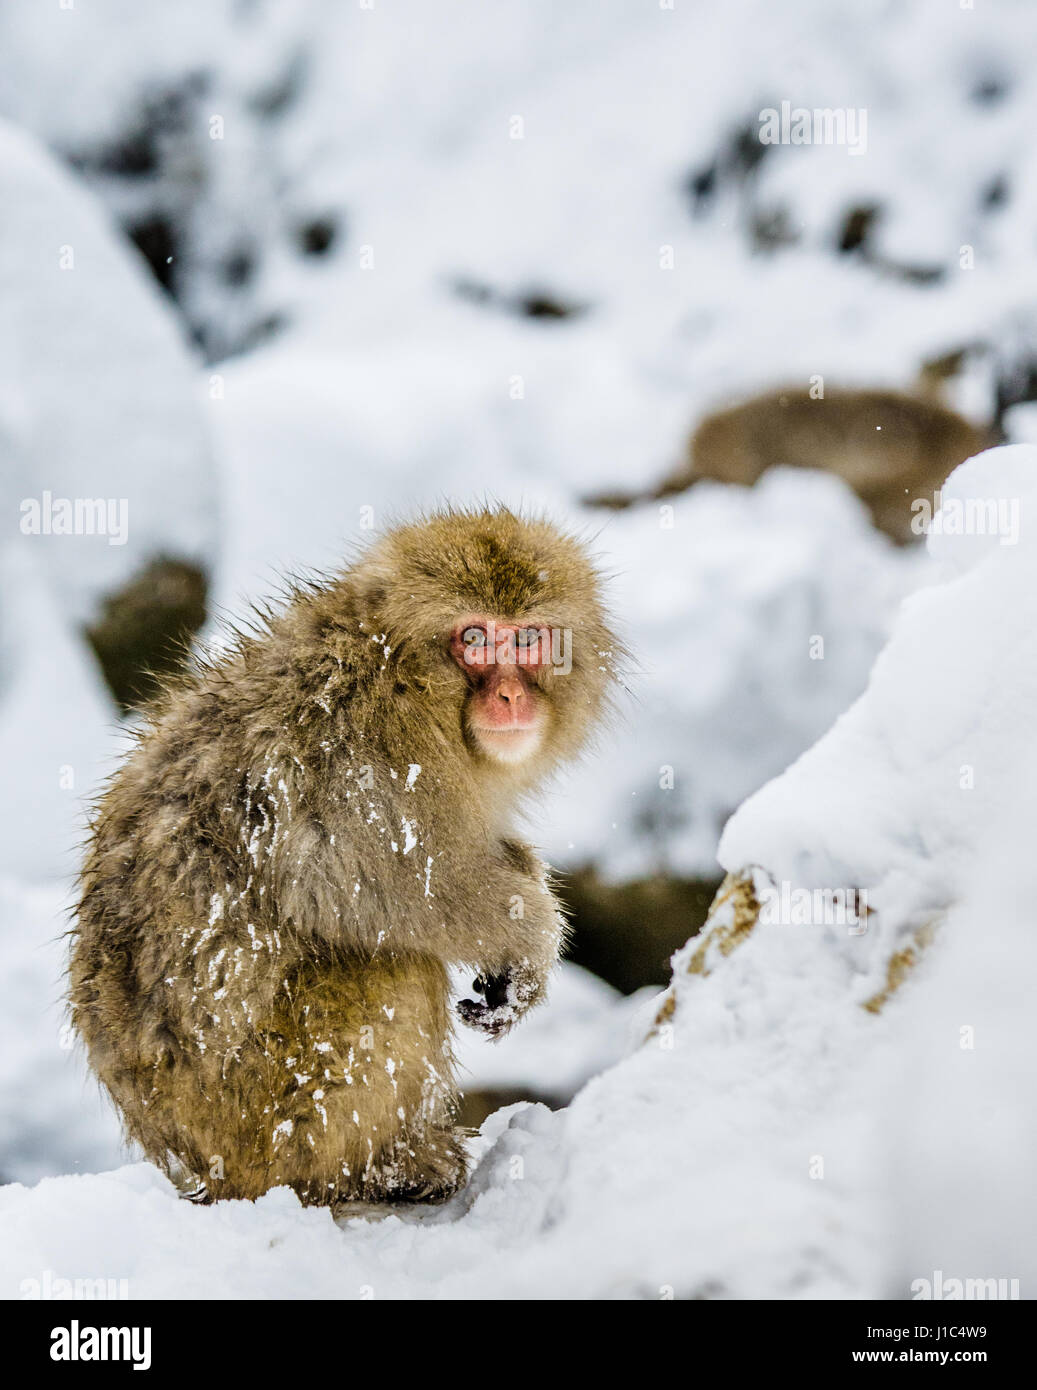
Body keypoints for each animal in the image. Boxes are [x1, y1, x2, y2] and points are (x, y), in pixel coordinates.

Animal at [68, 507, 620, 1206]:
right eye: (474, 638)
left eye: (526, 641)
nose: (510, 698)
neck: (403, 674)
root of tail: (192, 1159)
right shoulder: (366, 752)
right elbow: (384, 885)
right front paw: (531, 937)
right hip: (273, 1107)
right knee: (394, 967)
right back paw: (385, 1170)